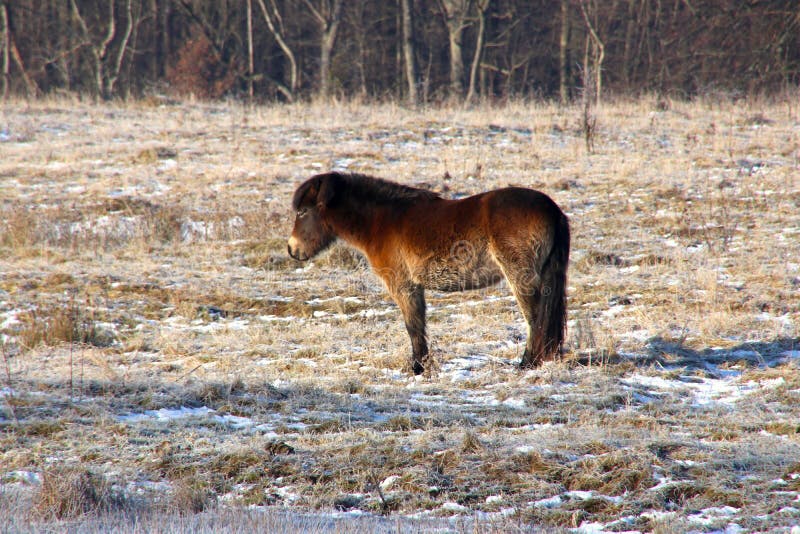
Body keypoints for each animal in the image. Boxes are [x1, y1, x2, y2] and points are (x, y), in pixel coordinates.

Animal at [287, 172, 570, 375]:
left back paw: (527, 364)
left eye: (303, 211)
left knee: (535, 318)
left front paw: (418, 368)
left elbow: (413, 326)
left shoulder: (402, 284)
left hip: (520, 275)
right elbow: (420, 324)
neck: (381, 221)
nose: (292, 249)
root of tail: (553, 210)